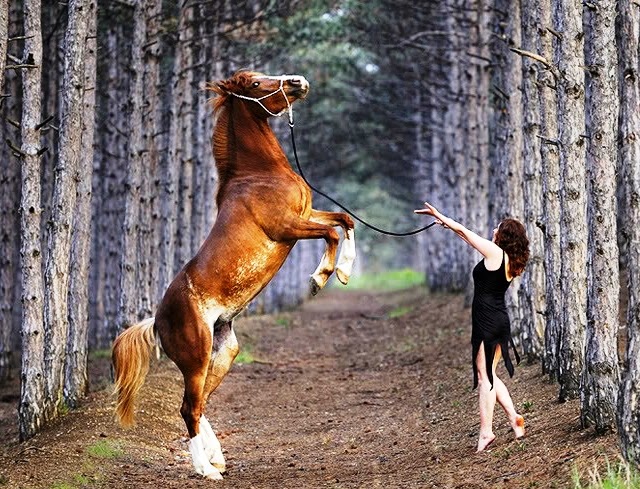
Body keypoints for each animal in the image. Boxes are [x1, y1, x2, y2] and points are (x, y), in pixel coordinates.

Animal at [111, 70, 356, 480]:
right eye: (256, 84)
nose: (298, 81)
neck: (259, 174)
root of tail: (157, 321)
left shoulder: (306, 214)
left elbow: (344, 220)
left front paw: (344, 272)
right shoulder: (288, 226)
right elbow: (333, 232)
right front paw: (320, 277)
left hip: (224, 351)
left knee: (200, 404)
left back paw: (216, 458)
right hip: (196, 357)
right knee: (188, 407)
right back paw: (205, 469)